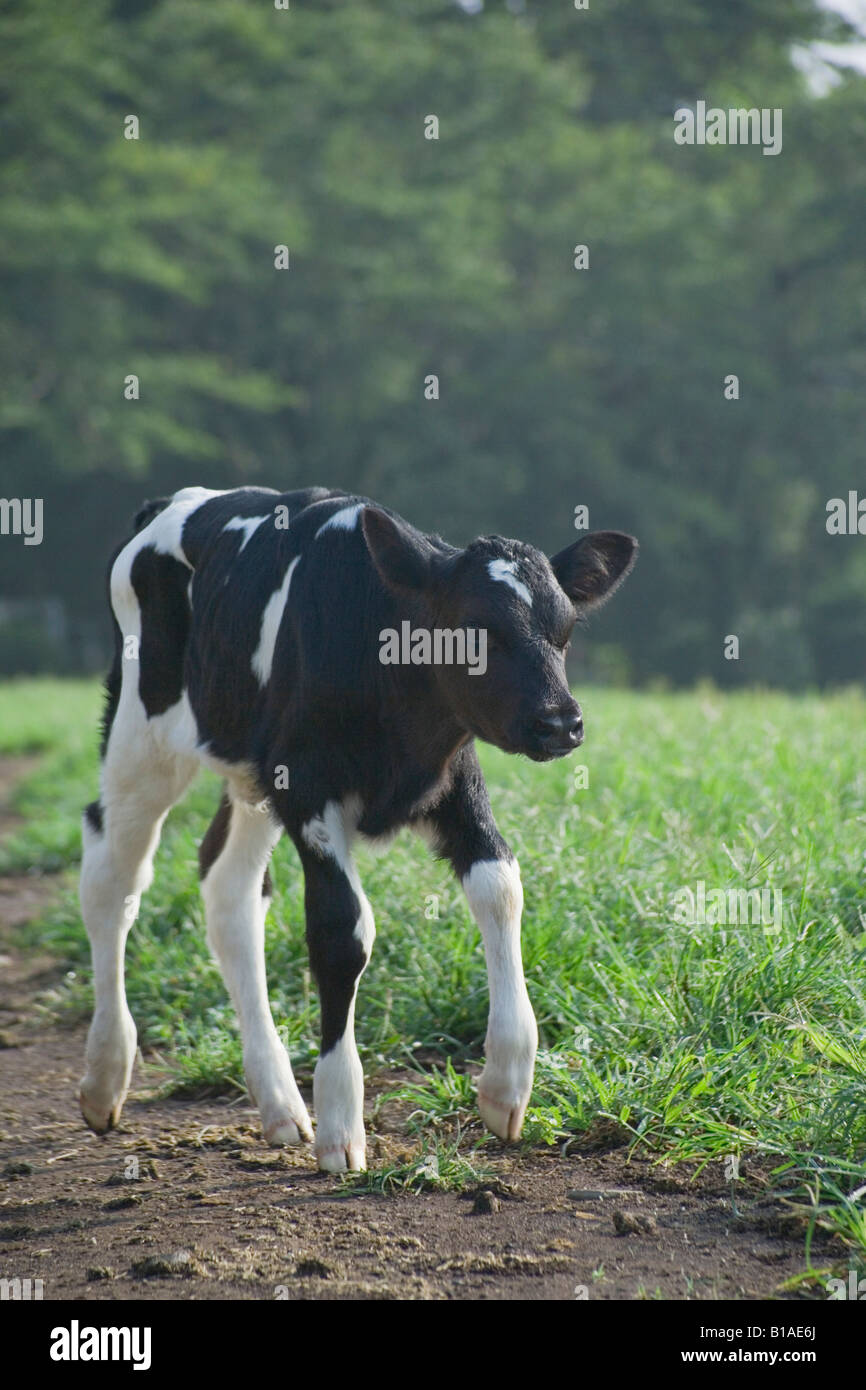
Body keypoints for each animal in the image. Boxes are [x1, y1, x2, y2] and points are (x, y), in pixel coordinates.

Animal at [79, 486, 637, 1171]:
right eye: (476, 629)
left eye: (566, 631)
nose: (560, 722)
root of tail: (175, 500)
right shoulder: (308, 787)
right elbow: (342, 931)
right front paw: (342, 1124)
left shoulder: (452, 774)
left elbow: (500, 886)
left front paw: (507, 1083)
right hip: (141, 734)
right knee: (113, 879)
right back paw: (106, 1075)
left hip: (250, 773)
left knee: (229, 890)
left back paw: (279, 1103)